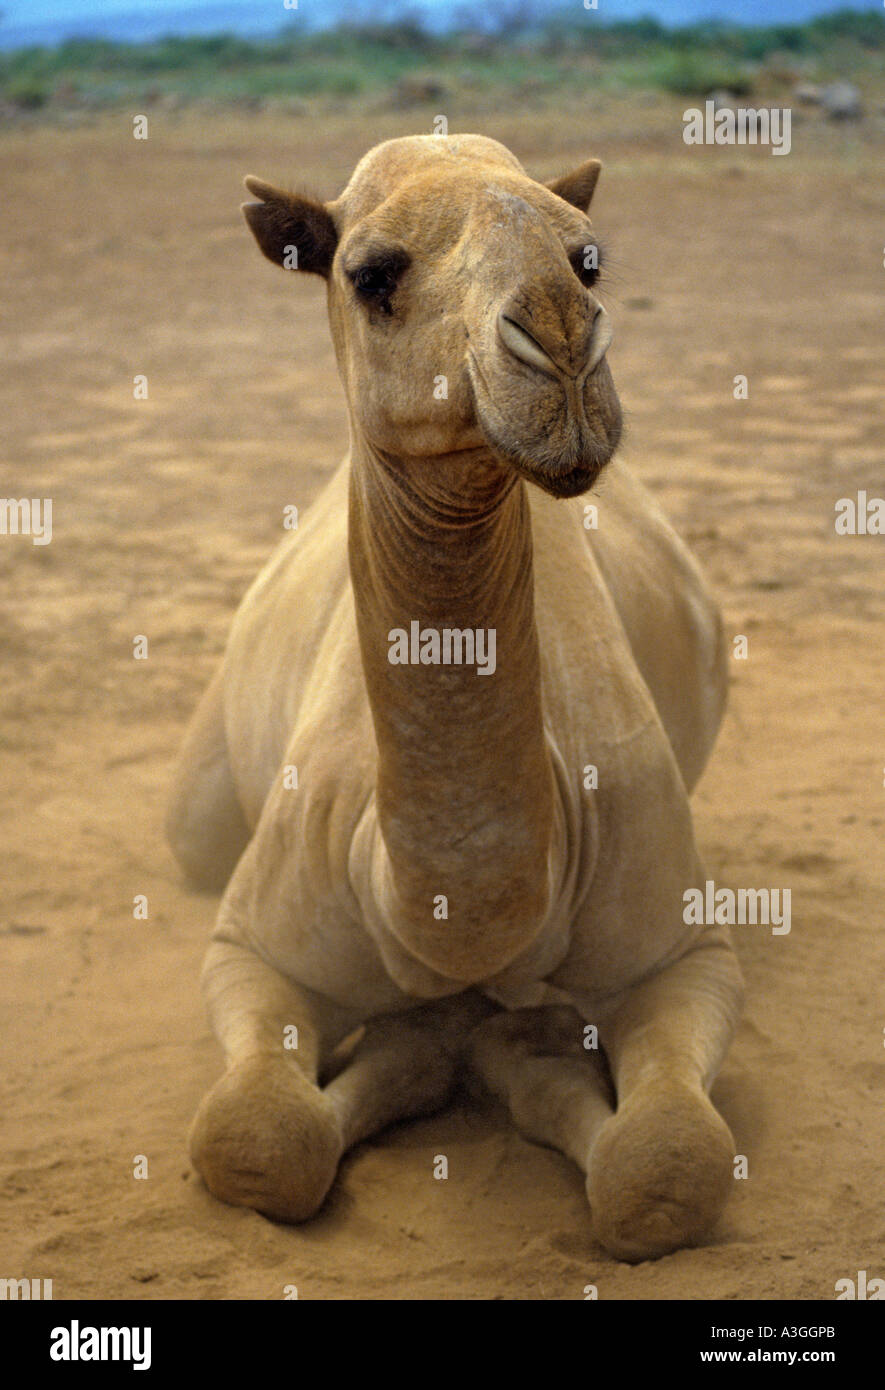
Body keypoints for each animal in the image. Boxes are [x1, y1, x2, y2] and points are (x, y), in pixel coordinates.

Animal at [167, 134, 743, 1263]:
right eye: (370, 272)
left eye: (589, 256)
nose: (561, 342)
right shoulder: (252, 943)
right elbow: (257, 1135)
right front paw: (441, 1046)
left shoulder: (682, 949)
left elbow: (666, 1167)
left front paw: (525, 1058)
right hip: (201, 816)